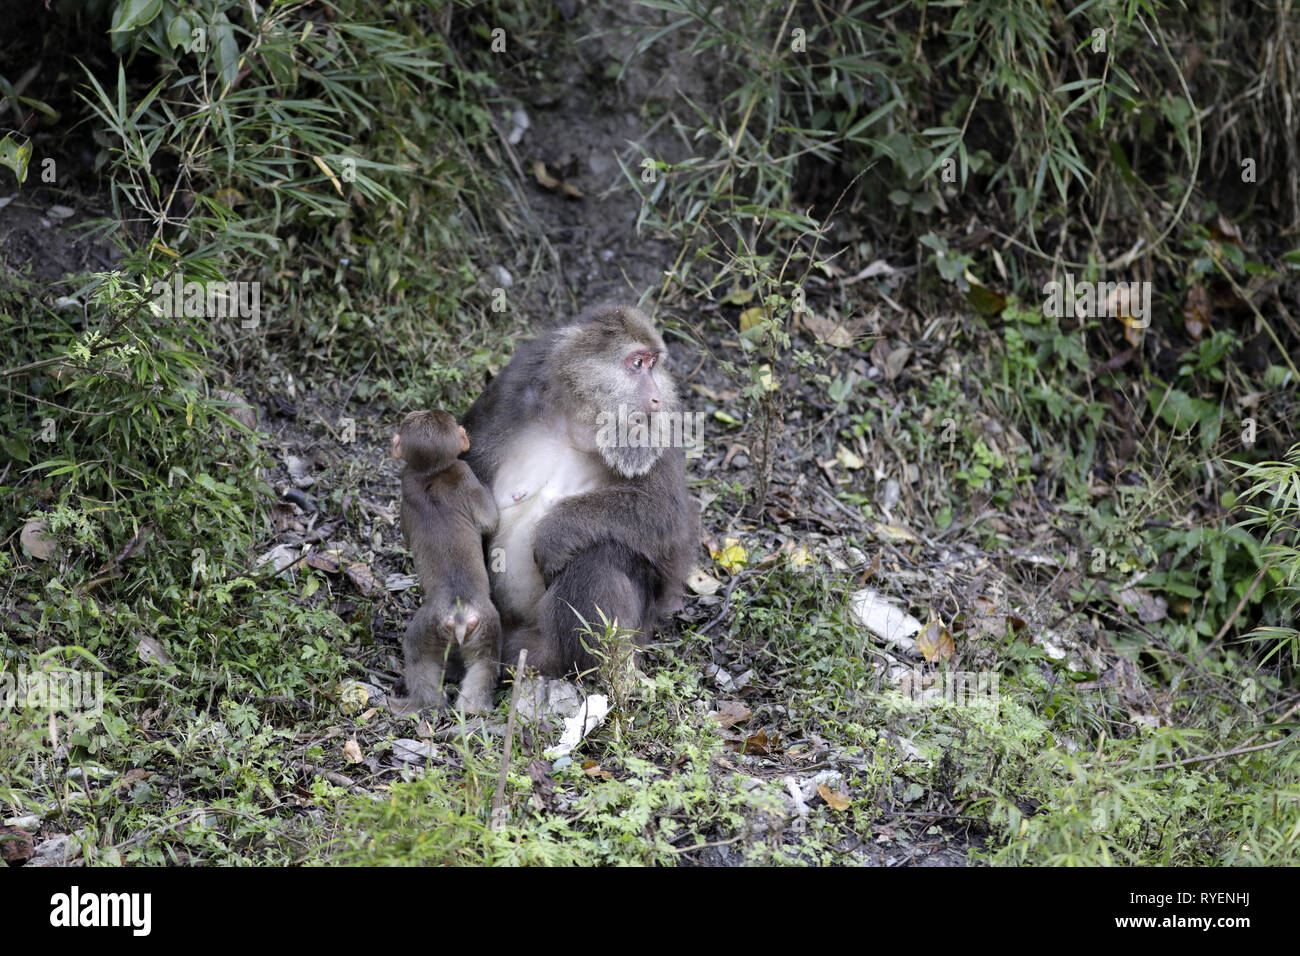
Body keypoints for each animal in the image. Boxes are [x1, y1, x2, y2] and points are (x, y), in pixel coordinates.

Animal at [389, 409, 501, 714]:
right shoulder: (465, 474)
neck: (433, 472)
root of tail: (460, 613)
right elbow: (490, 520)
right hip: (473, 625)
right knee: (477, 665)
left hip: (455, 625)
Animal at [461, 303, 700, 679]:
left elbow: (666, 513)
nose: (655, 398)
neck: (576, 419)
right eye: (636, 363)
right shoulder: (508, 392)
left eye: (653, 364)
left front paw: (553, 534)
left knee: (599, 551)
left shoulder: (667, 426)